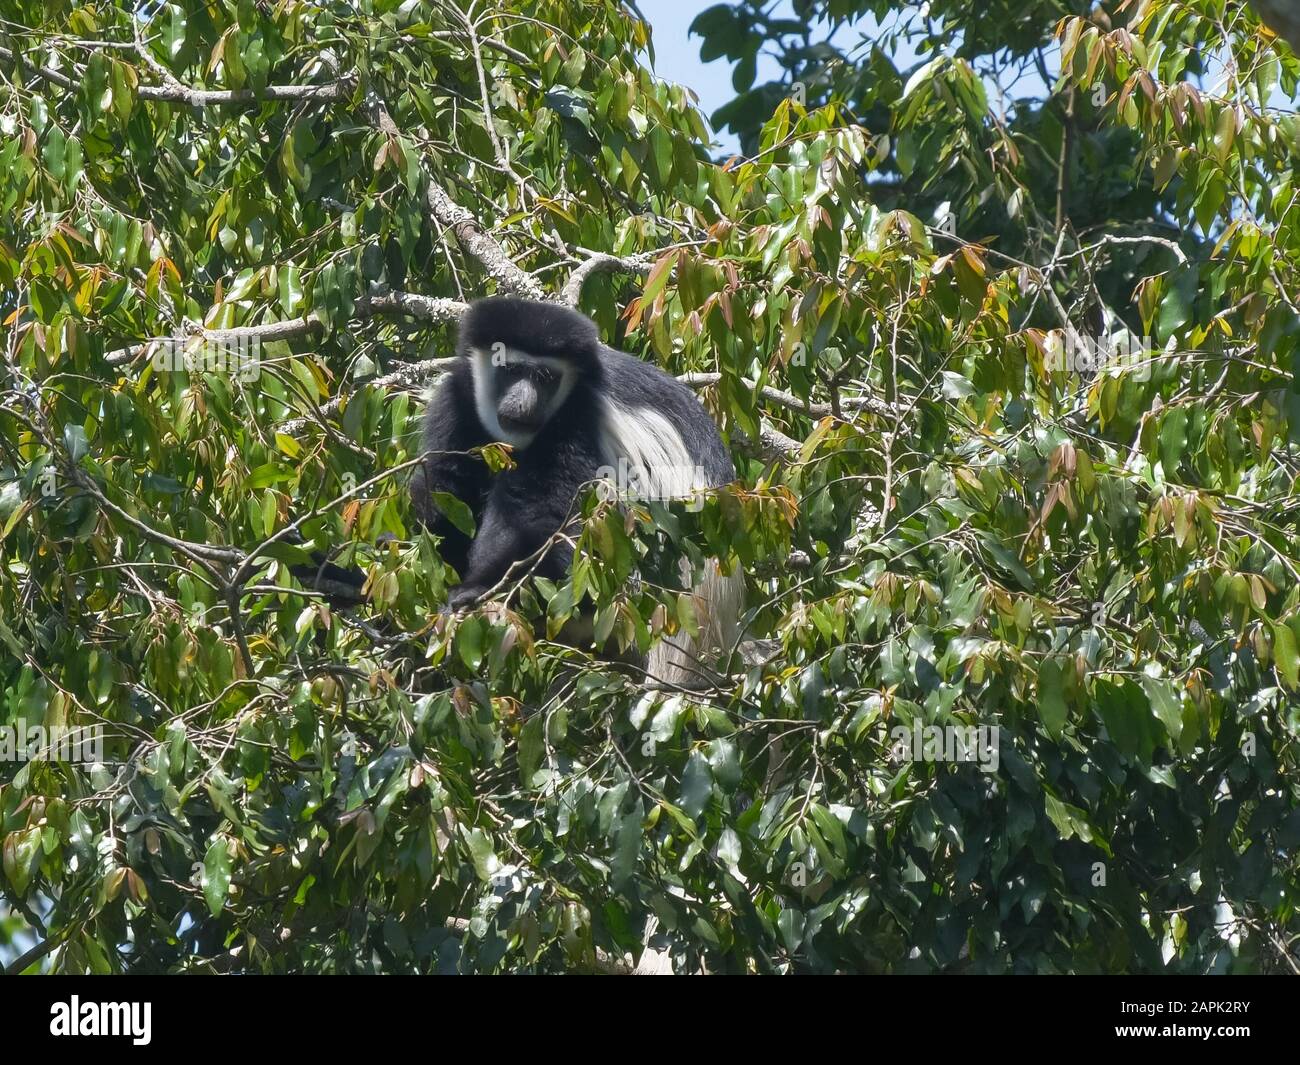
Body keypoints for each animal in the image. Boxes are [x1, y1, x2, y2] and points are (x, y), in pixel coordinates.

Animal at [409, 296, 743, 687]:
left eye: (546, 378)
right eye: (509, 369)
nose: (524, 404)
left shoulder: (575, 424)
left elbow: (552, 523)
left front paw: (474, 591)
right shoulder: (457, 399)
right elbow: (444, 489)